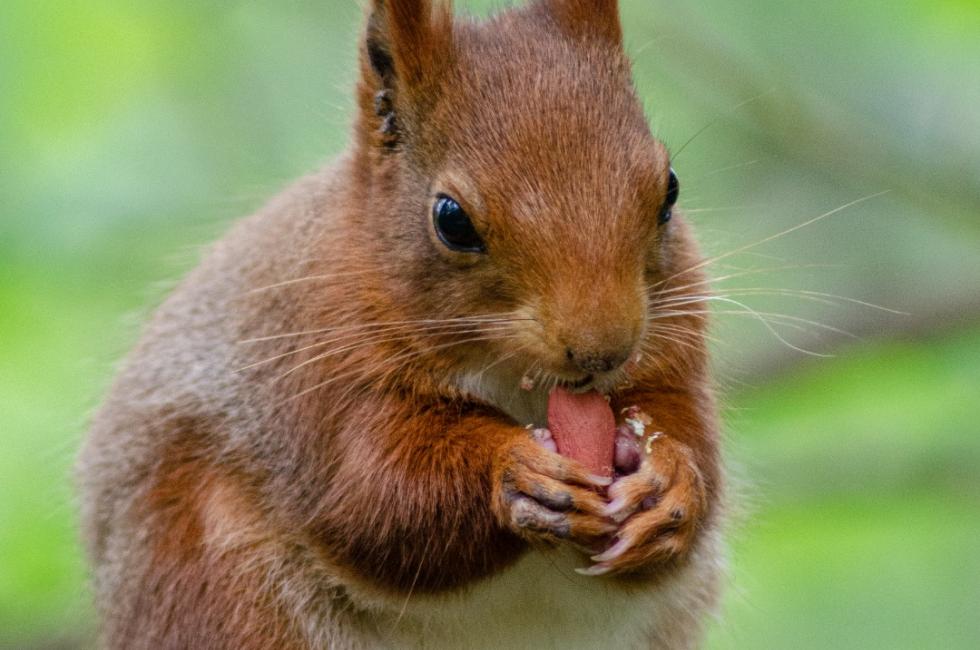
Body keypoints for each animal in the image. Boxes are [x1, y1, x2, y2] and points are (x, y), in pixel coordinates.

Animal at [77, 0, 724, 648]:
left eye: (670, 189)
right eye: (452, 220)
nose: (602, 353)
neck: (512, 376)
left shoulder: (677, 344)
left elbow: (694, 445)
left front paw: (670, 482)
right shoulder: (312, 368)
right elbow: (375, 495)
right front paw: (515, 474)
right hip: (216, 582)